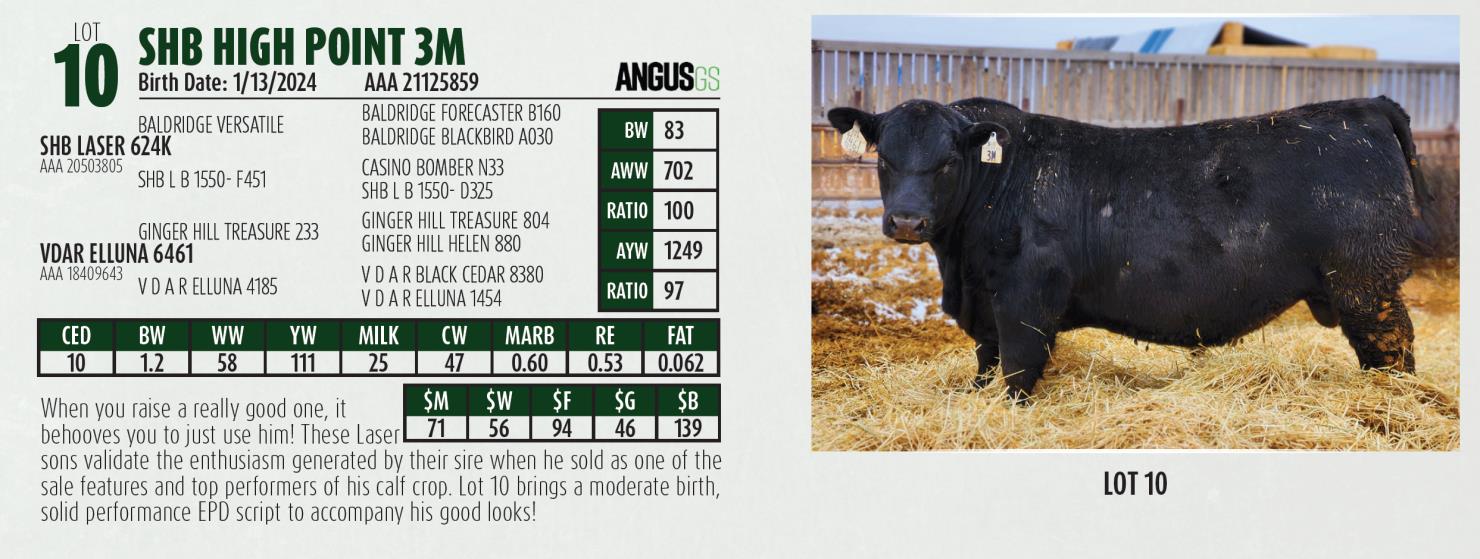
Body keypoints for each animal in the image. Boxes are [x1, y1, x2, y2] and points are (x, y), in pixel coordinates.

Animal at [827, 96, 1427, 400]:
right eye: (883, 157)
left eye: (949, 161)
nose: (907, 221)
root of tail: (1362, 106)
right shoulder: (983, 301)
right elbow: (985, 357)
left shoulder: (1024, 299)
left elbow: (1017, 368)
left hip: (1366, 284)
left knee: (1391, 348)